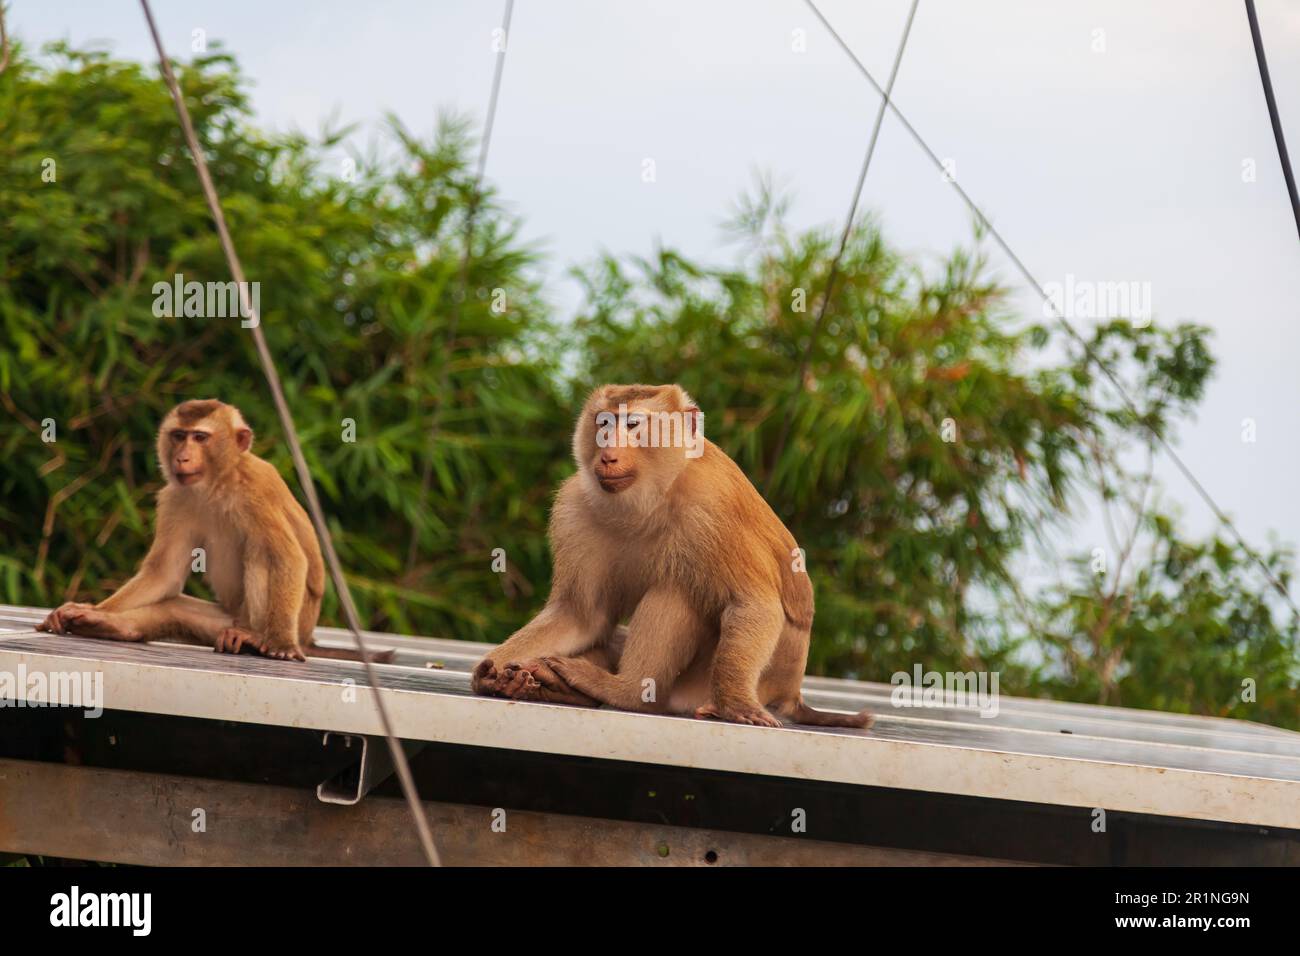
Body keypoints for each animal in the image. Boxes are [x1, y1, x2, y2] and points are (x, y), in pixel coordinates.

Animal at [37, 398, 392, 664]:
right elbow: (163, 574)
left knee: (260, 553)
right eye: (179, 435)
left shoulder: (257, 490)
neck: (217, 484)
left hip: (287, 618)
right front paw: (93, 611)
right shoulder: (175, 499)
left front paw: (281, 643)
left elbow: (287, 558)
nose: (182, 457)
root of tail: (309, 636)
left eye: (200, 437)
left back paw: (255, 639)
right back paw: (113, 626)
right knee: (173, 608)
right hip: (225, 618)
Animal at [471, 383, 872, 729]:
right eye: (604, 424)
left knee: (678, 589)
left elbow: (753, 604)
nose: (607, 454)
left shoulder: (712, 505)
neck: (652, 495)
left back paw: (625, 691)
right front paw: (493, 673)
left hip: (726, 681)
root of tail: (791, 693)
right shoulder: (574, 508)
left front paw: (735, 703)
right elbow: (581, 617)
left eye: (633, 425)